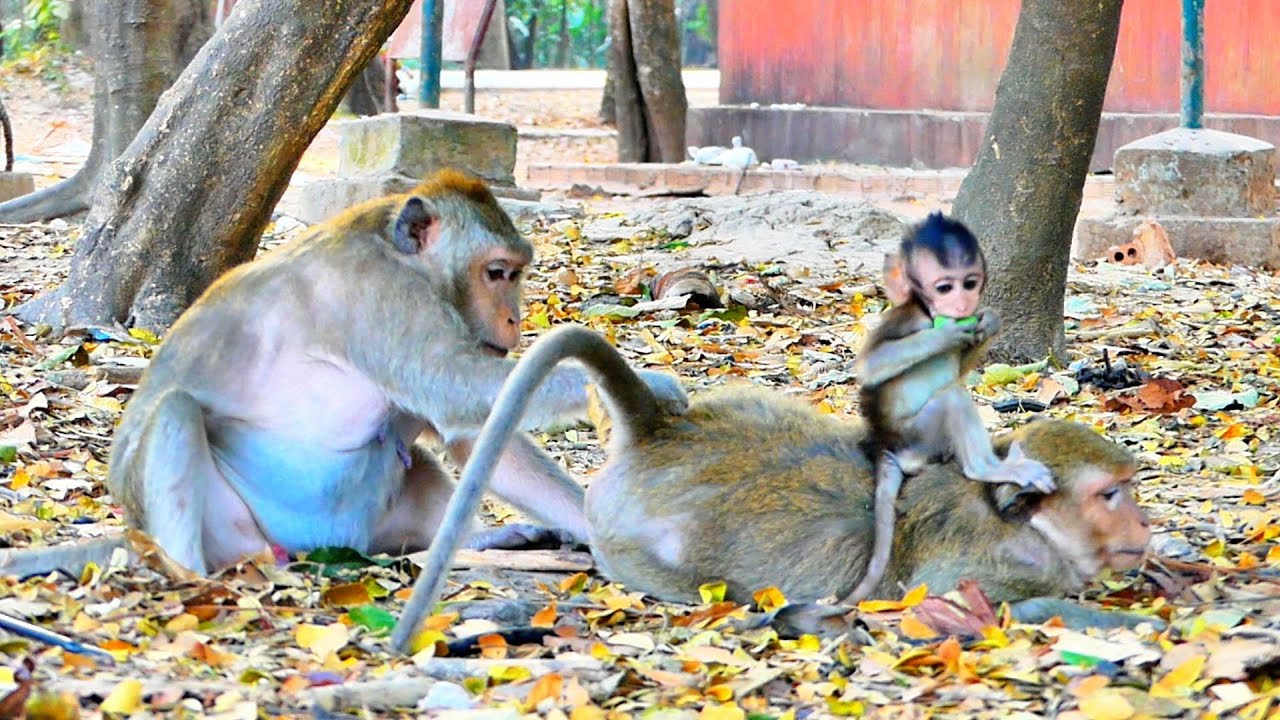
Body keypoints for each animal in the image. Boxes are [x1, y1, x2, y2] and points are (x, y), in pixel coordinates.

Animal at [102, 169, 687, 578]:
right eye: (497, 273)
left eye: (517, 274)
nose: (514, 319)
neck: (401, 256)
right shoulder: (380, 292)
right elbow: (453, 384)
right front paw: (645, 385)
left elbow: (472, 434)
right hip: (230, 534)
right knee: (175, 411)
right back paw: (190, 575)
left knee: (412, 455)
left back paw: (468, 543)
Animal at [390, 325, 1150, 652]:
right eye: (1112, 495)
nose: (1143, 527)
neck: (1027, 525)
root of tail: (658, 431)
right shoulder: (992, 568)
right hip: (640, 552)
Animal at [843, 213, 1056, 605]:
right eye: (944, 288)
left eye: (969, 284)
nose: (962, 304)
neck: (930, 313)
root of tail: (887, 446)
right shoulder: (907, 319)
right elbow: (869, 368)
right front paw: (944, 336)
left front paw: (989, 321)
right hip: (918, 438)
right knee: (951, 398)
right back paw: (987, 469)